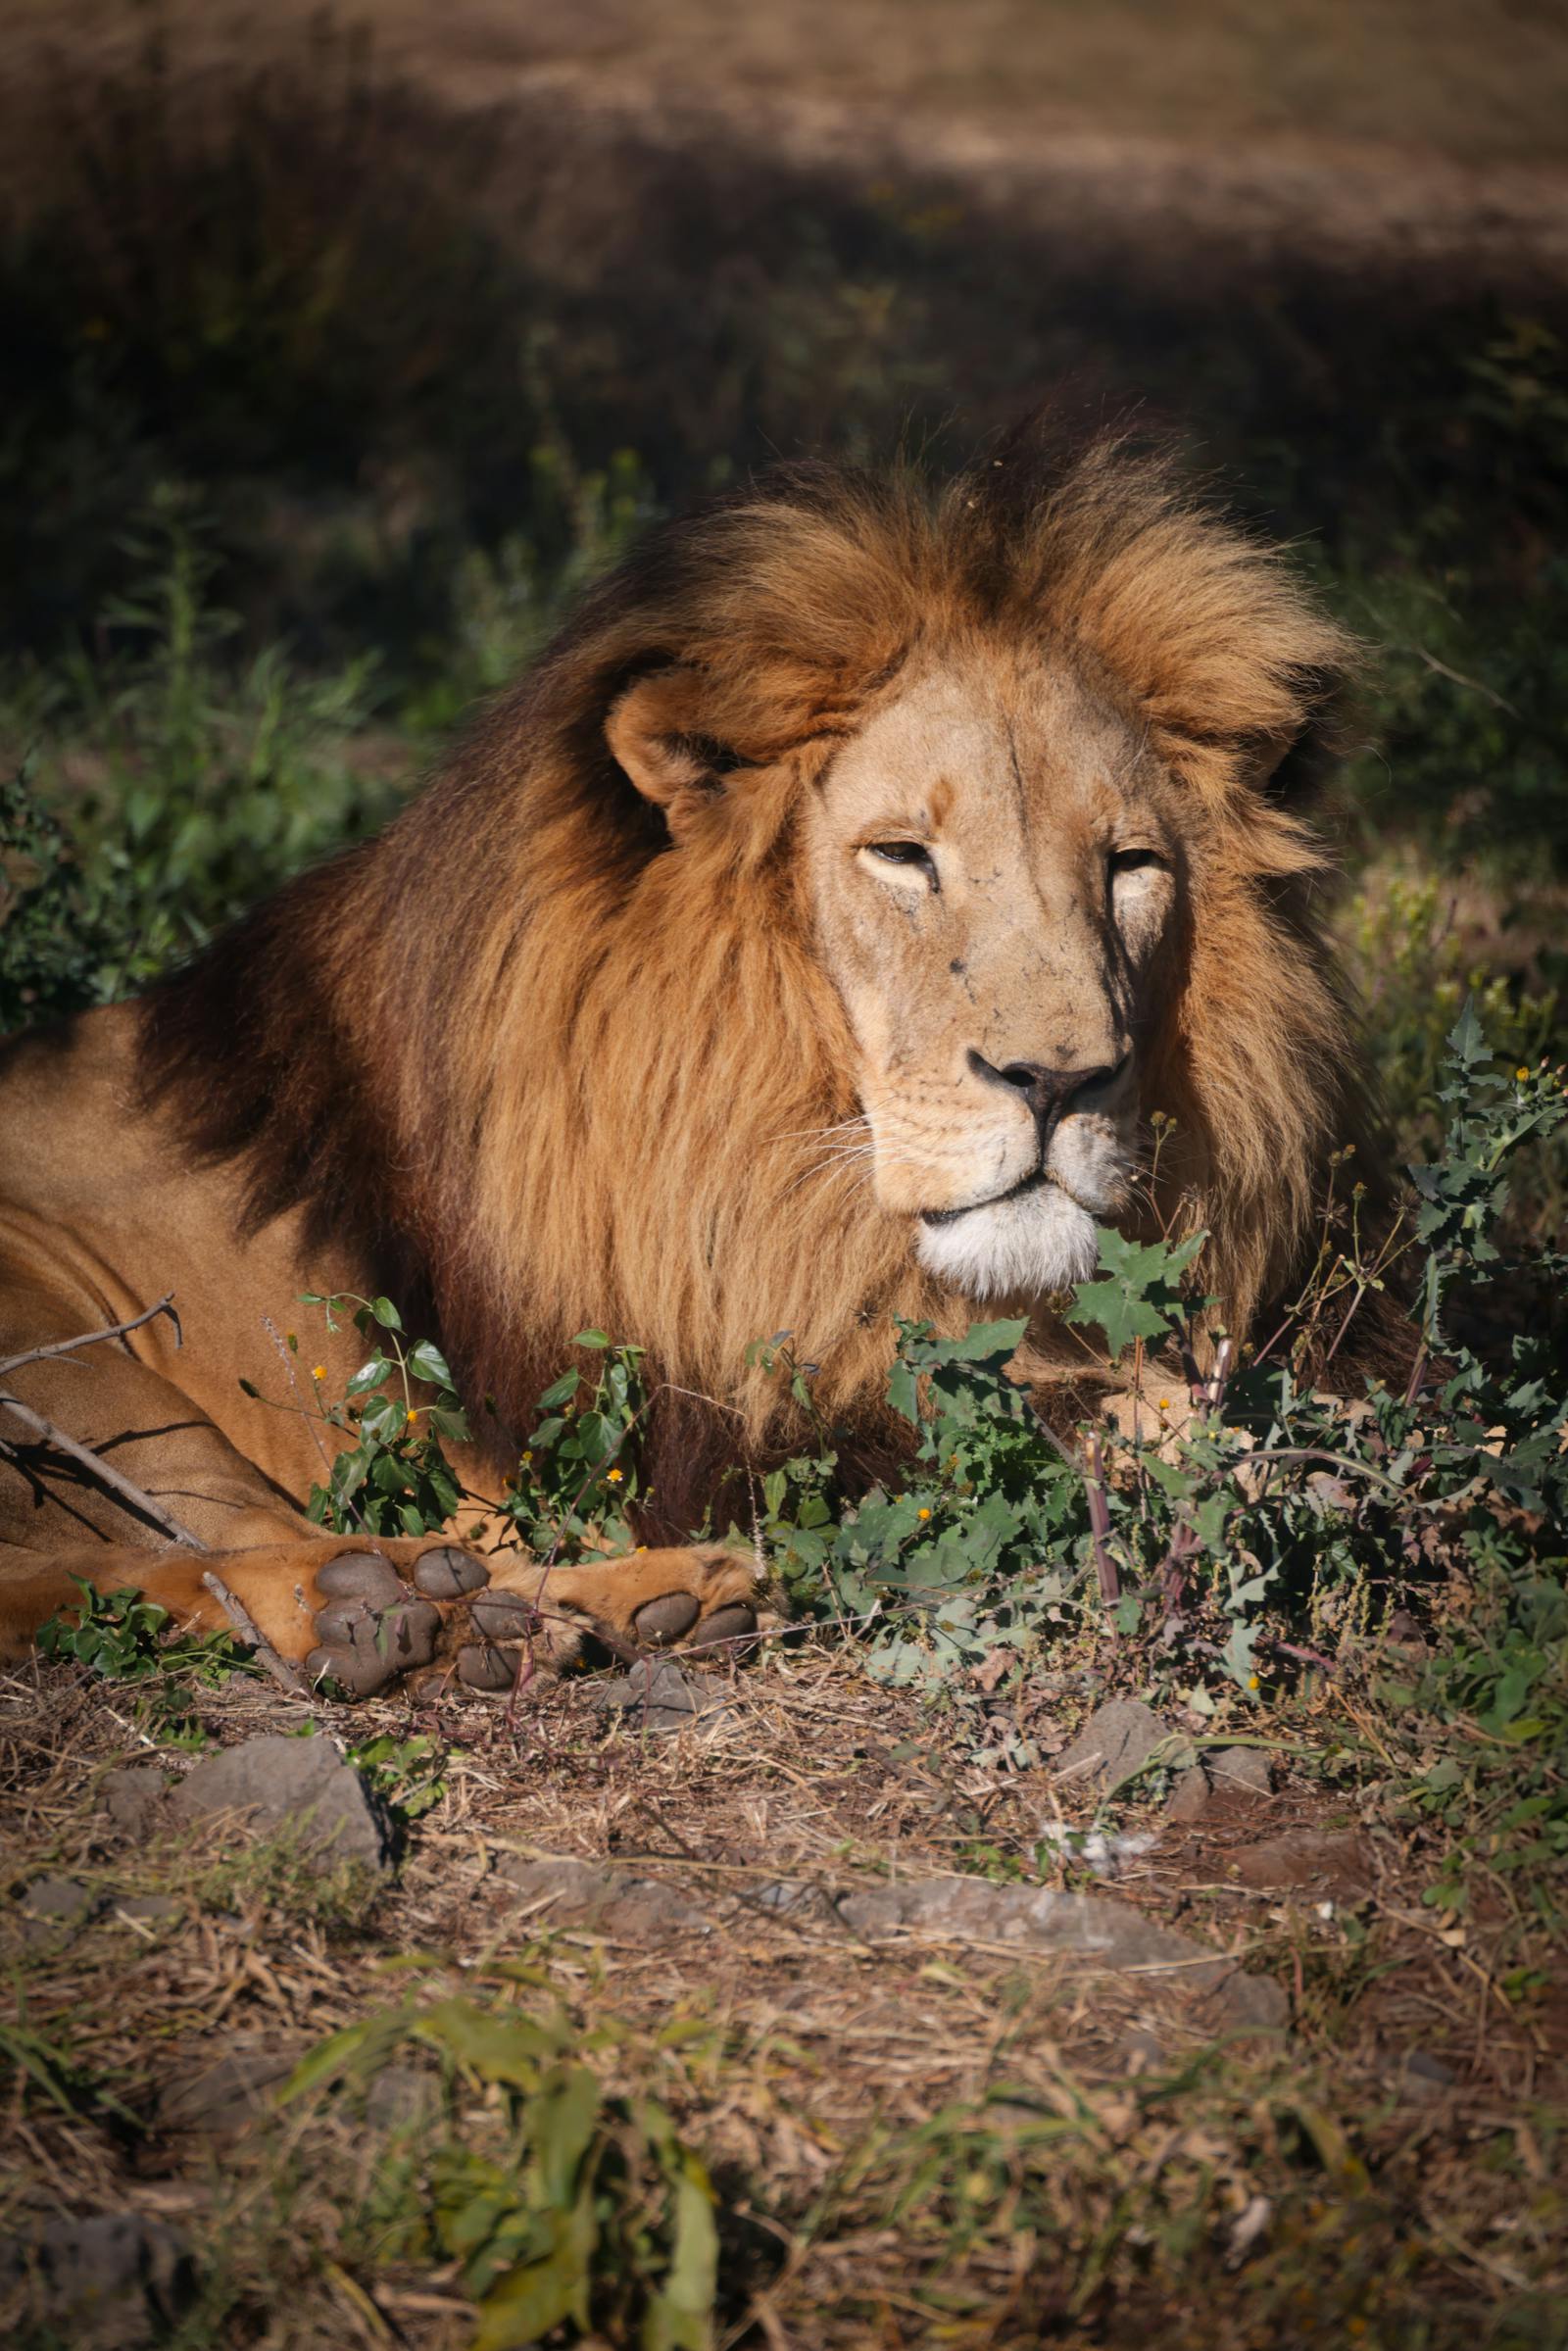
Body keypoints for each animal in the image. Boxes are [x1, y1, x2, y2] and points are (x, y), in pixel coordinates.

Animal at [0, 423, 1379, 1696]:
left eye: (1131, 865)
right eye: (901, 855)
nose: (1056, 1080)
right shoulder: (712, 1406)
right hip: (87, 1371)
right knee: (184, 1556)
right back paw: (449, 1605)